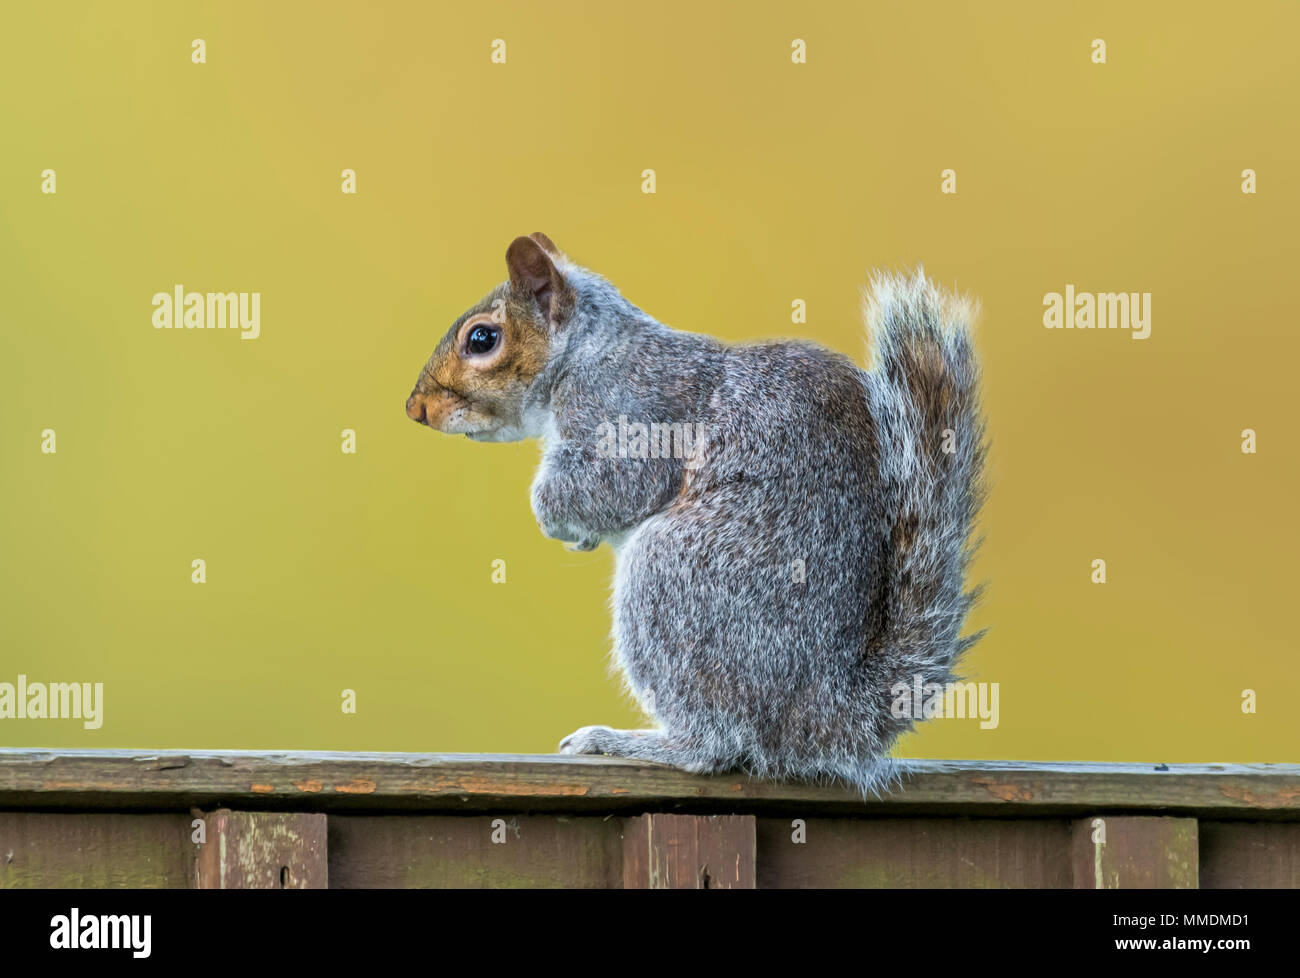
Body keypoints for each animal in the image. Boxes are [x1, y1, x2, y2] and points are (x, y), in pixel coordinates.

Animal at [406, 233, 987, 793]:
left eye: (482, 339)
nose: (416, 408)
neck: (589, 349)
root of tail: (820, 715)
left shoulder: (632, 415)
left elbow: (610, 486)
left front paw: (553, 517)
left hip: (668, 576)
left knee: (712, 745)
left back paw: (624, 743)